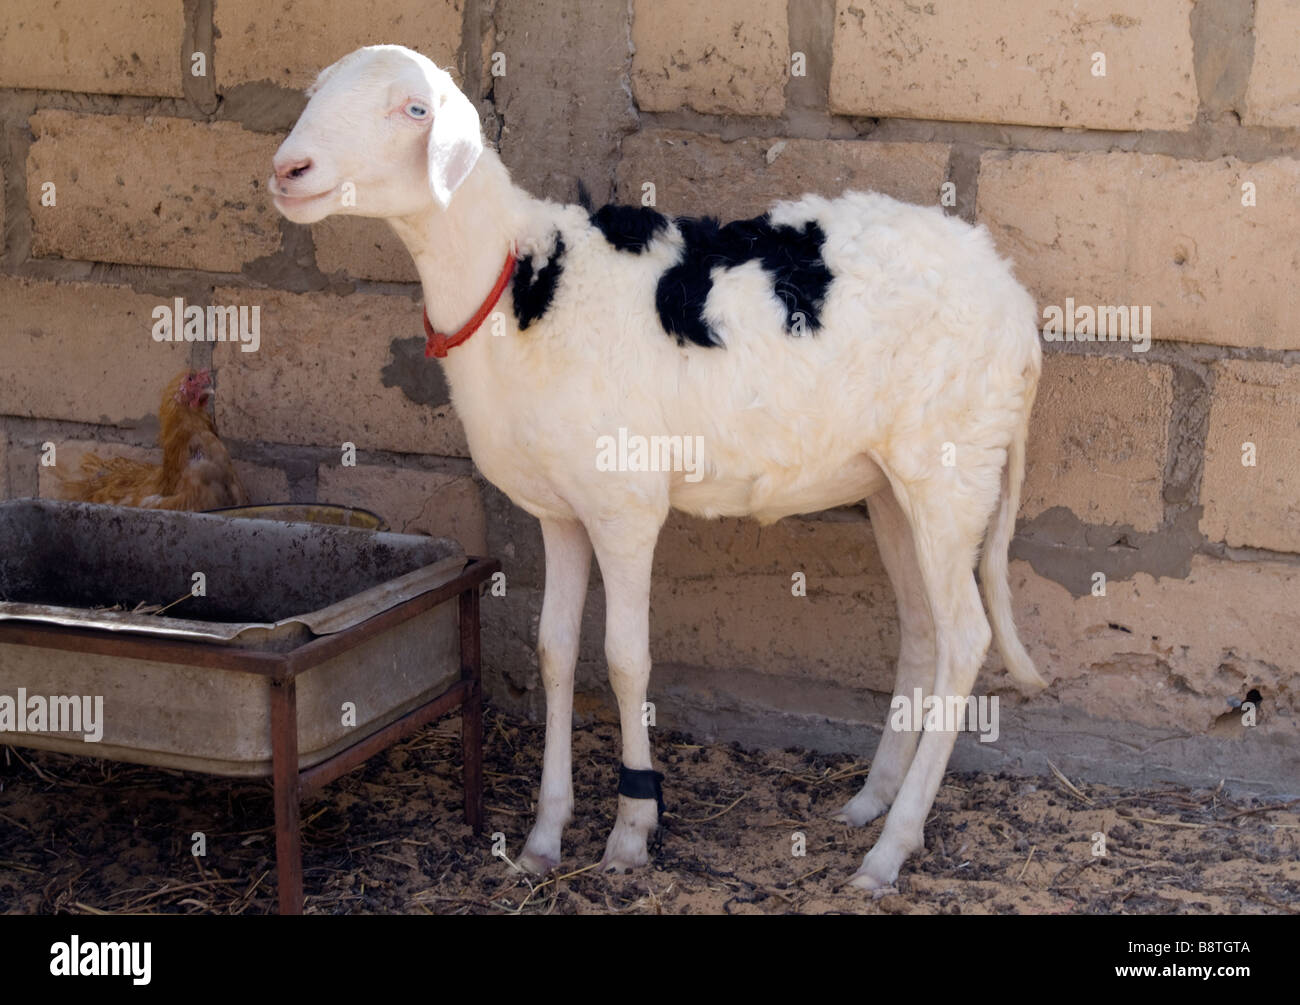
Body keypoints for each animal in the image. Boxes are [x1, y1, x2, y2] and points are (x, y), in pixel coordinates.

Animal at [270, 44, 1047, 891]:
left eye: (414, 110)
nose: (288, 168)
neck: (520, 286)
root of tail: (1015, 302)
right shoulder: (560, 509)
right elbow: (555, 651)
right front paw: (544, 837)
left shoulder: (624, 503)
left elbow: (624, 659)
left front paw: (631, 829)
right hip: (892, 483)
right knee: (923, 631)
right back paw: (871, 801)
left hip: (953, 465)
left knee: (966, 638)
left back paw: (890, 849)